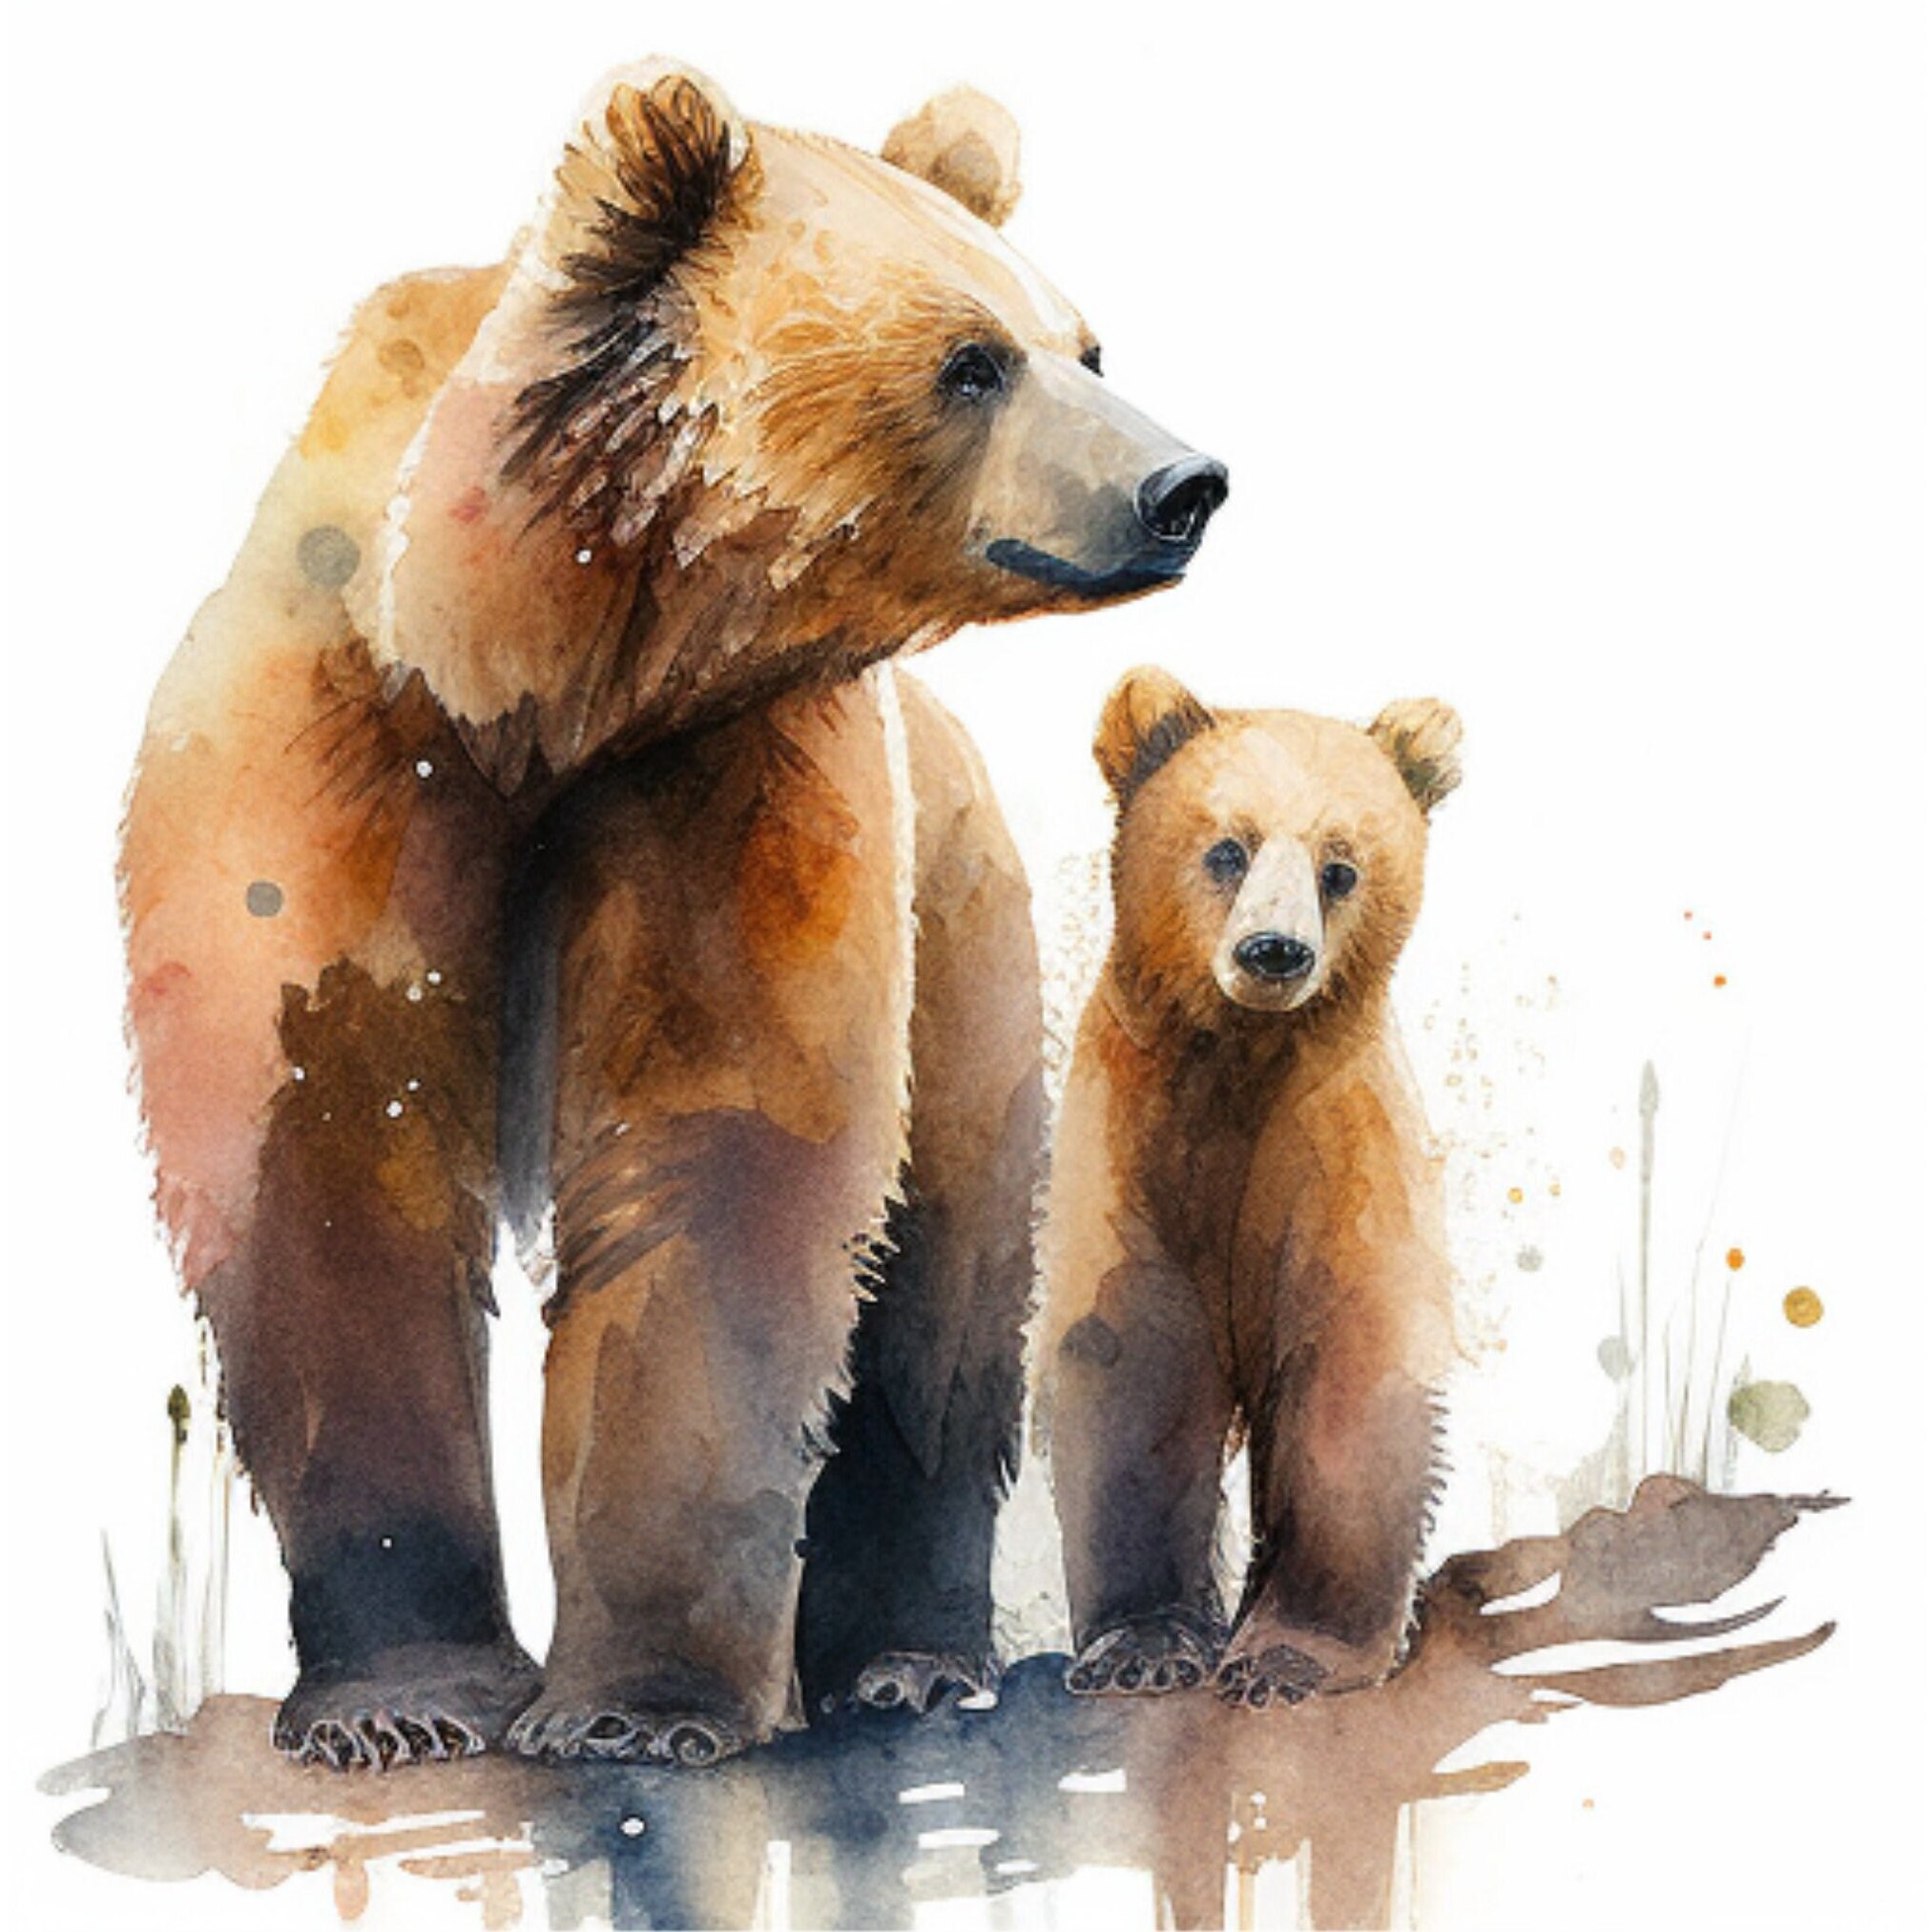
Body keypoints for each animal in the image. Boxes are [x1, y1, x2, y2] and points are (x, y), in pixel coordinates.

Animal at [119, 63, 1226, 1769]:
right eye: (974, 361)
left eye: (1087, 343)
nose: (1183, 486)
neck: (540, 680)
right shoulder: (329, 759)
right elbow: (327, 1161)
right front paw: (403, 1697)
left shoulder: (733, 772)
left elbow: (724, 1147)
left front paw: (638, 1706)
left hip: (966, 941)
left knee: (944, 1302)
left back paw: (902, 1658)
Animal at [1041, 668, 1460, 1708]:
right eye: (1226, 848)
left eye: (1340, 868)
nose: (1274, 952)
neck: (1242, 1059)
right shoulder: (1133, 1142)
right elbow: (1135, 1356)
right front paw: (1145, 1644)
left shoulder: (1336, 1145)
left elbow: (1351, 1366)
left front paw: (1289, 1654)